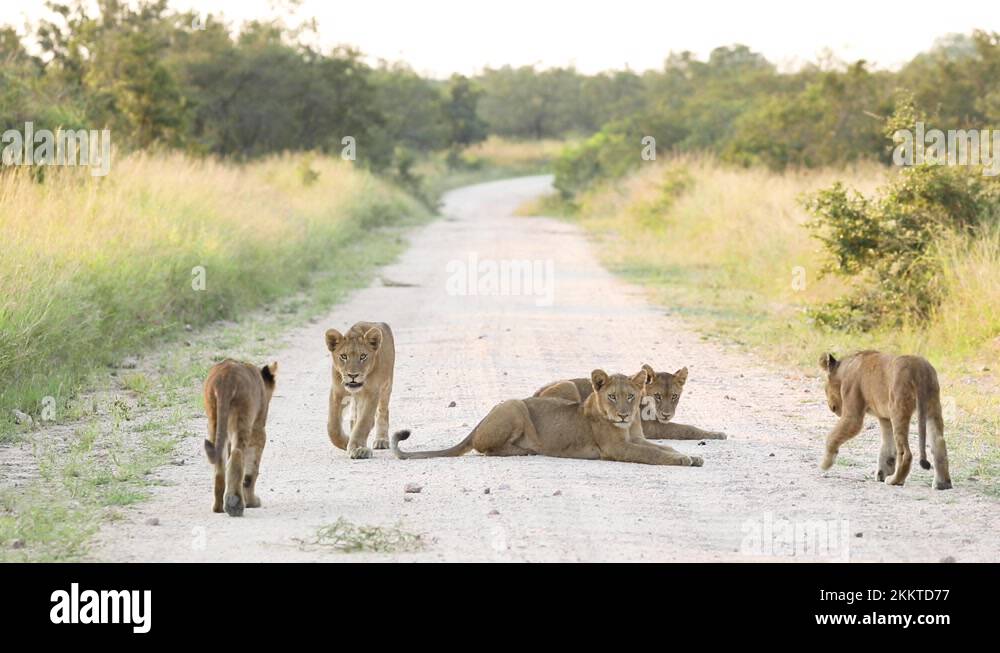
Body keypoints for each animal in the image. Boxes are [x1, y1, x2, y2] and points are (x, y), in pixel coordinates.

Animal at [203, 359, 278, 516]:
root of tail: (225, 377)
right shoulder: (258, 429)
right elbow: (252, 472)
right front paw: (252, 502)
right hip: (242, 417)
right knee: (237, 455)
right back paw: (235, 504)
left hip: (214, 419)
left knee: (220, 463)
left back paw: (218, 507)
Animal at [325, 321, 395, 459]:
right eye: (343, 356)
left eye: (363, 356)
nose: (353, 375)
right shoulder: (337, 392)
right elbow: (333, 427)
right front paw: (347, 442)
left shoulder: (371, 393)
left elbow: (364, 422)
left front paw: (357, 448)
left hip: (386, 386)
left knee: (382, 412)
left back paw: (381, 440)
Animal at [392, 369, 703, 466]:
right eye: (613, 396)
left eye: (631, 396)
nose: (624, 414)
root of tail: (479, 423)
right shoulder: (617, 448)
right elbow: (654, 454)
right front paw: (682, 460)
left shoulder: (637, 438)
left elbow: (664, 447)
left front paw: (692, 456)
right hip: (515, 406)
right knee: (486, 449)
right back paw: (524, 450)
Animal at [534, 364, 726, 440]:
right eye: (657, 396)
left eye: (674, 396)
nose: (666, 414)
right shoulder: (651, 427)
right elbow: (685, 428)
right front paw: (716, 434)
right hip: (569, 385)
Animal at [819, 351, 952, 490]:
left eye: (825, 388)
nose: (831, 407)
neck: (845, 368)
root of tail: (919, 368)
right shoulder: (885, 418)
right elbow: (887, 448)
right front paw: (882, 472)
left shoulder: (852, 416)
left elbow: (831, 437)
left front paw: (825, 464)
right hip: (932, 407)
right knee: (939, 443)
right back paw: (942, 484)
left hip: (898, 408)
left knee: (906, 453)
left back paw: (895, 480)